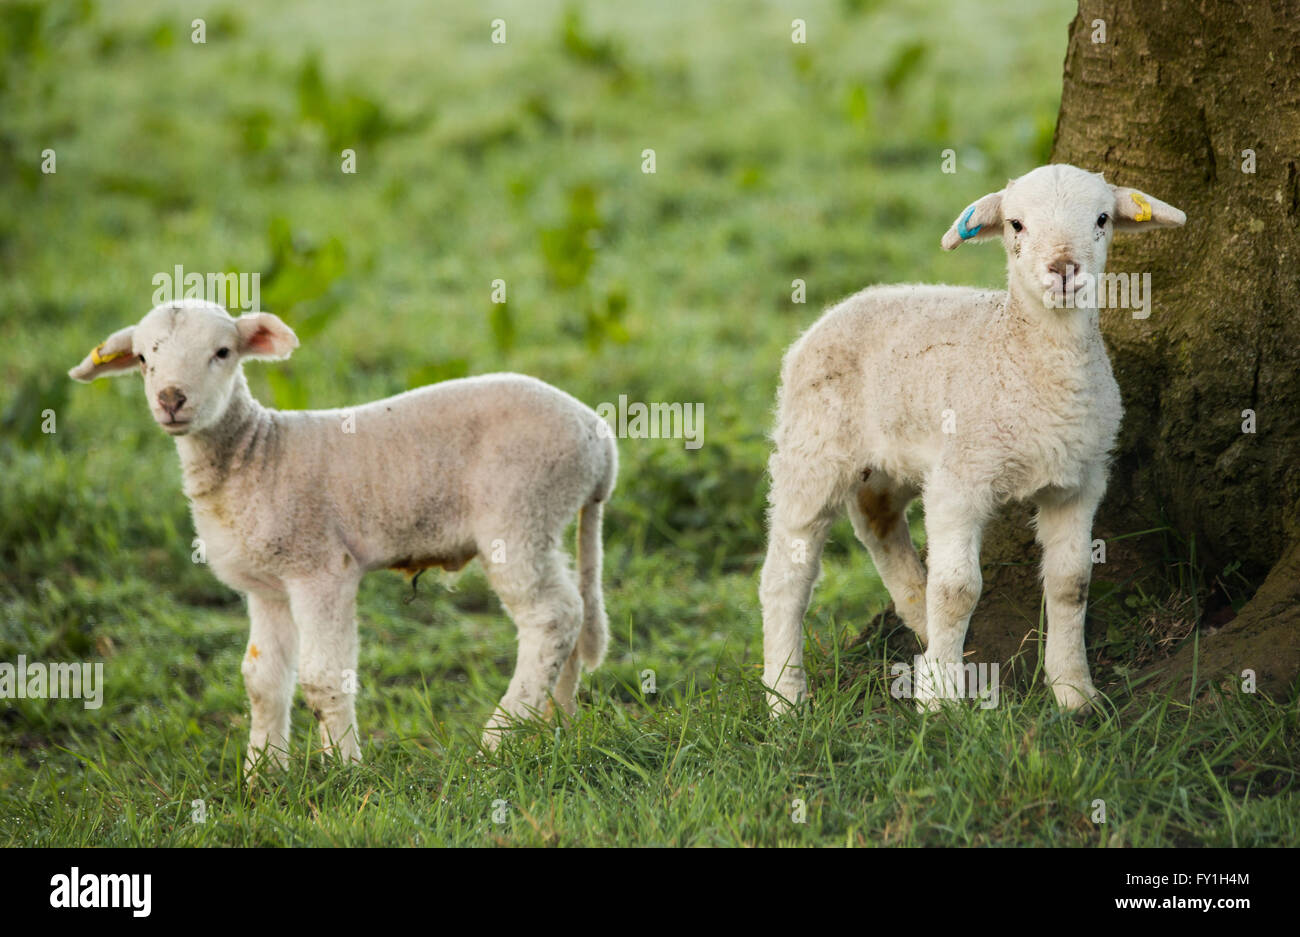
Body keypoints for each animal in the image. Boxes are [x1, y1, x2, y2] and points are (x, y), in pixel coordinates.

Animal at [69, 299, 617, 769]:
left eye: (222, 352)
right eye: (143, 358)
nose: (171, 399)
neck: (256, 453)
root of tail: (600, 440)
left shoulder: (321, 570)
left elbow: (322, 679)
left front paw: (344, 769)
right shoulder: (268, 588)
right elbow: (262, 681)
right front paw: (262, 776)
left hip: (519, 512)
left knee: (553, 616)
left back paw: (498, 740)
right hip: (545, 522)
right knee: (574, 612)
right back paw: (554, 725)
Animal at [759, 164, 1185, 713]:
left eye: (1102, 219)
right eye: (1016, 224)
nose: (1063, 269)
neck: (1028, 354)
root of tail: (845, 305)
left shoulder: (1079, 482)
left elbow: (1071, 584)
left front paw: (1074, 692)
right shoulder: (959, 482)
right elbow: (957, 589)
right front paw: (939, 700)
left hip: (892, 457)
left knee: (878, 522)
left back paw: (919, 624)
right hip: (812, 448)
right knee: (786, 576)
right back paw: (785, 697)